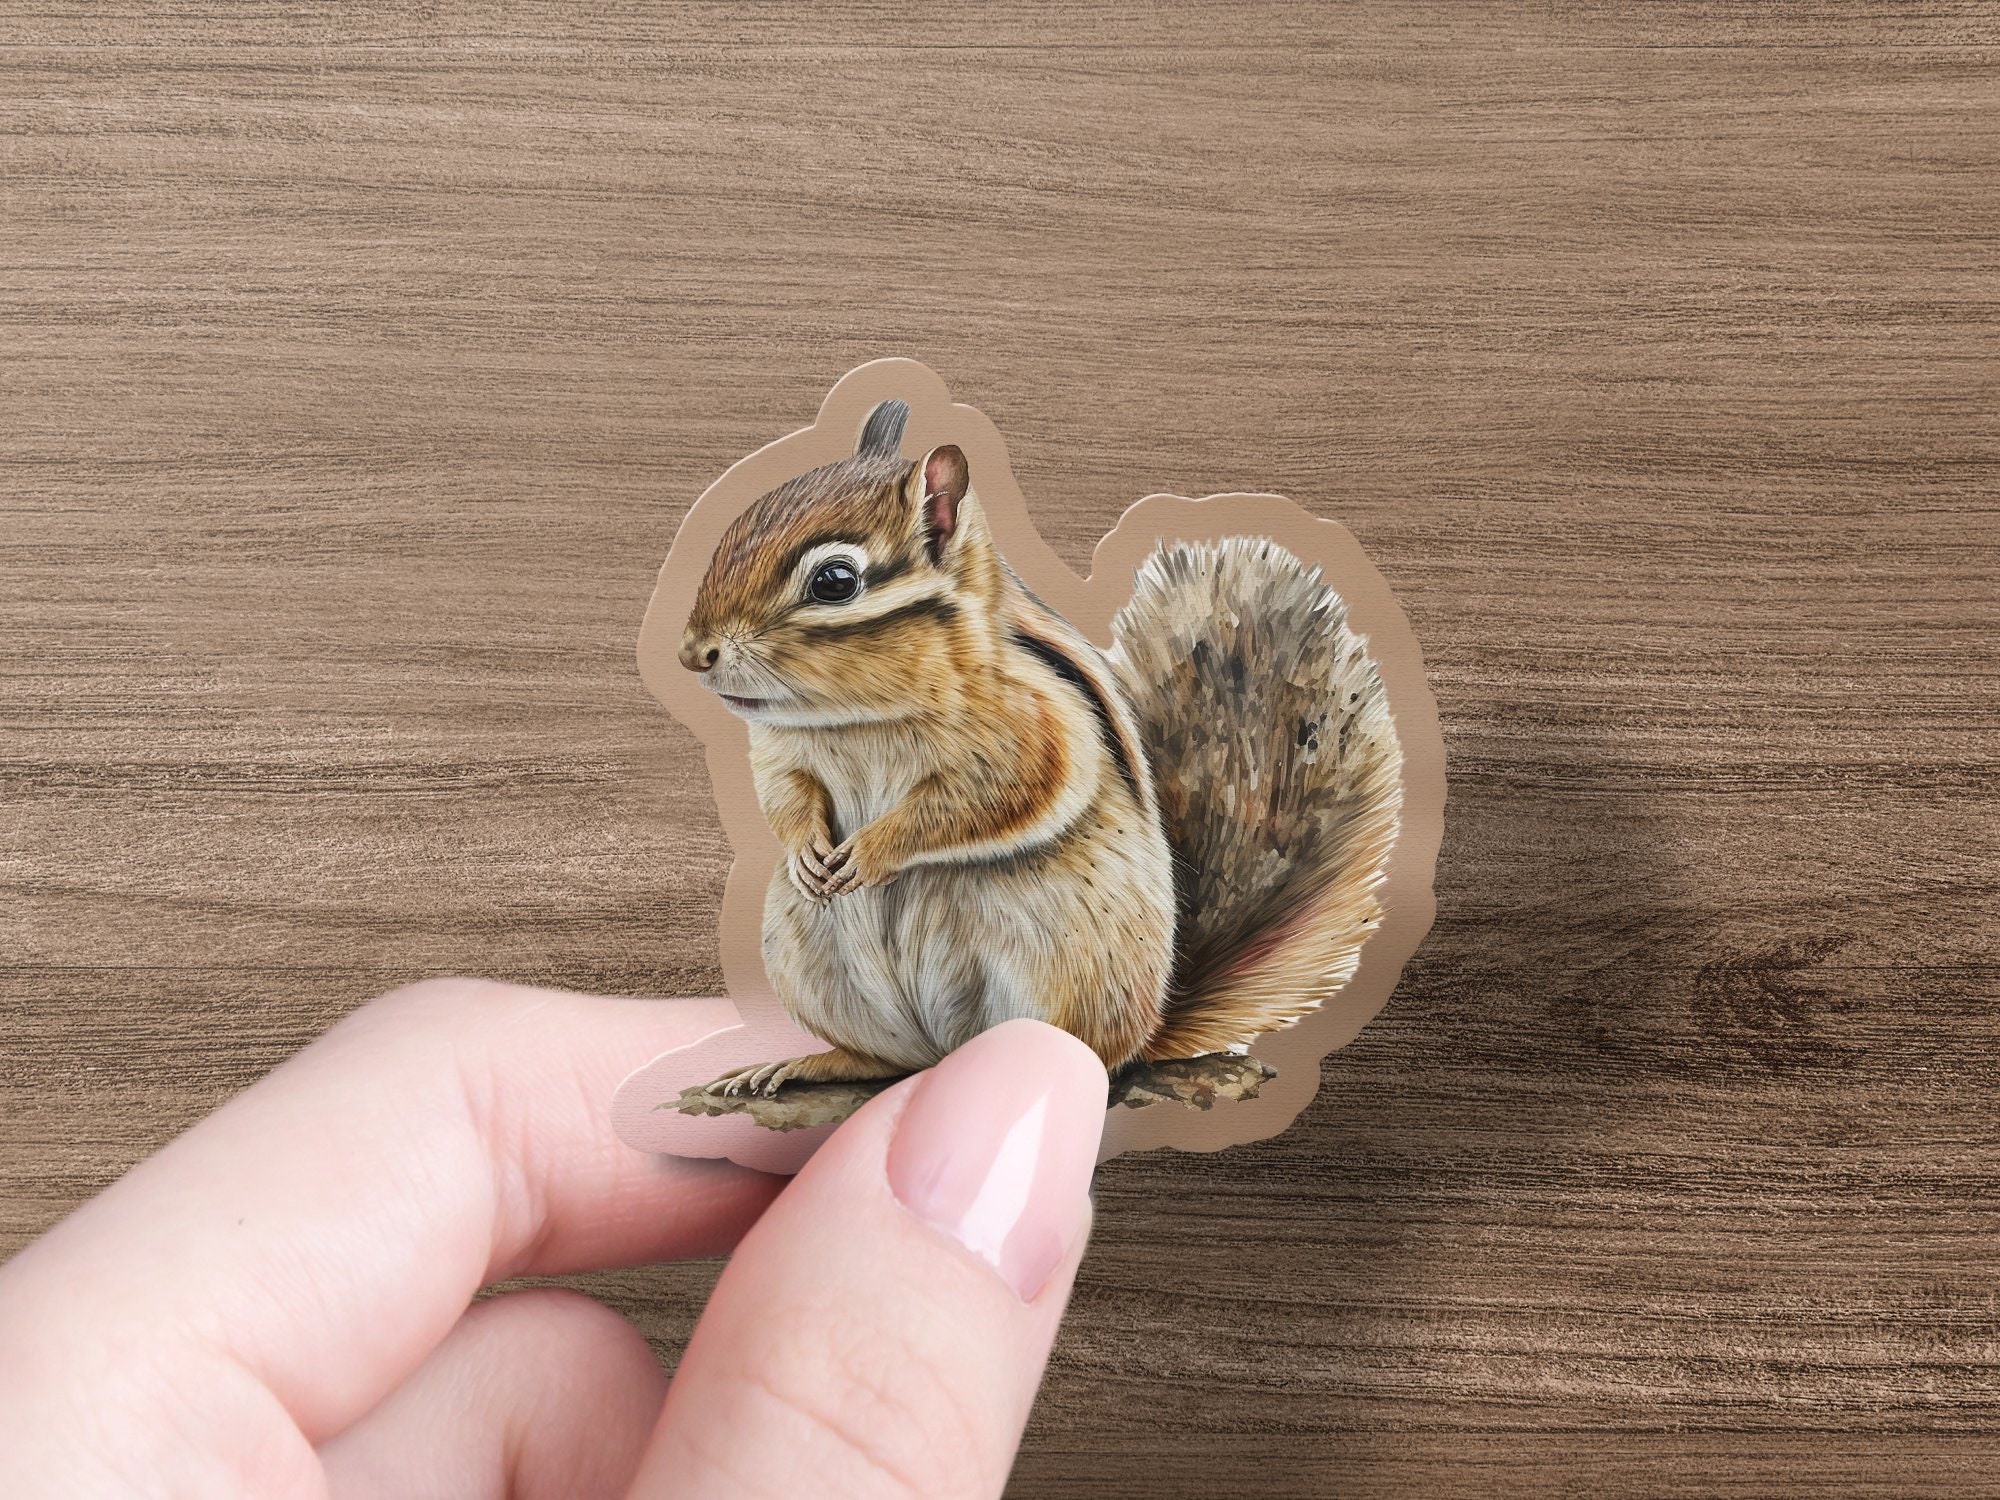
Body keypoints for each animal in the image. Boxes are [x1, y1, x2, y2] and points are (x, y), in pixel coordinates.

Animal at [678, 398, 1402, 1096]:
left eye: (833, 581)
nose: (691, 653)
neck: (856, 718)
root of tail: (1151, 1024)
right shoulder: (785, 752)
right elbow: (785, 794)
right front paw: (807, 850)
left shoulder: (1035, 730)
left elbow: (989, 799)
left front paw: (873, 850)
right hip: (807, 957)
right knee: (888, 1059)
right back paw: (808, 1064)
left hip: (1065, 973)